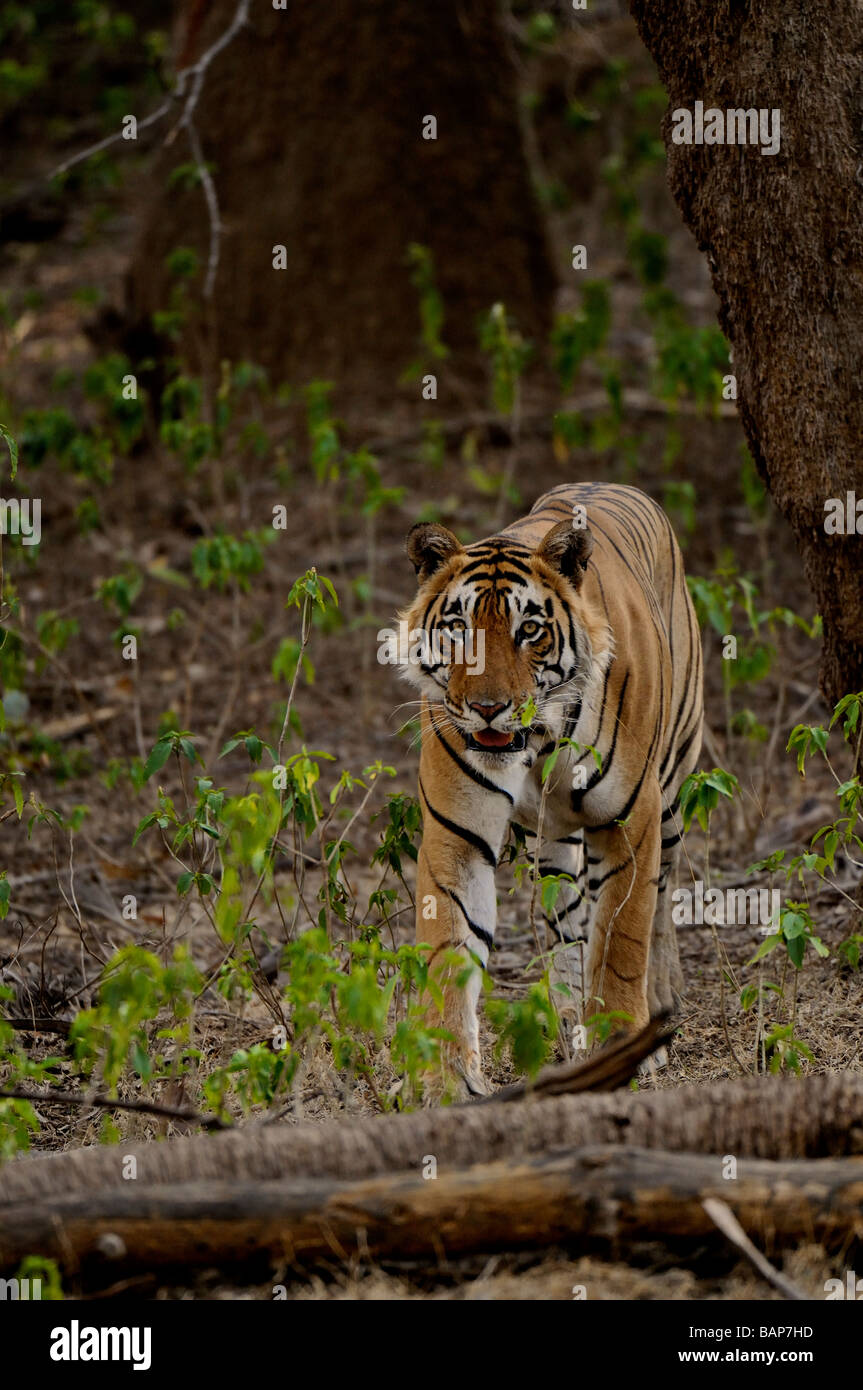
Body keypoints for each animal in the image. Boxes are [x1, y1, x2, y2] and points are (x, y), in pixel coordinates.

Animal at [400, 481, 703, 1096]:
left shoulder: (631, 820)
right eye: (458, 629)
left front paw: (623, 1043)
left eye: (529, 631)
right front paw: (447, 1082)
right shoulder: (455, 838)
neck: (536, 742)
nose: (487, 708)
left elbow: (622, 937)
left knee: (662, 902)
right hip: (555, 840)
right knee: (565, 918)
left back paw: (660, 1002)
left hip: (673, 788)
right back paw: (567, 1019)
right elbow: (449, 949)